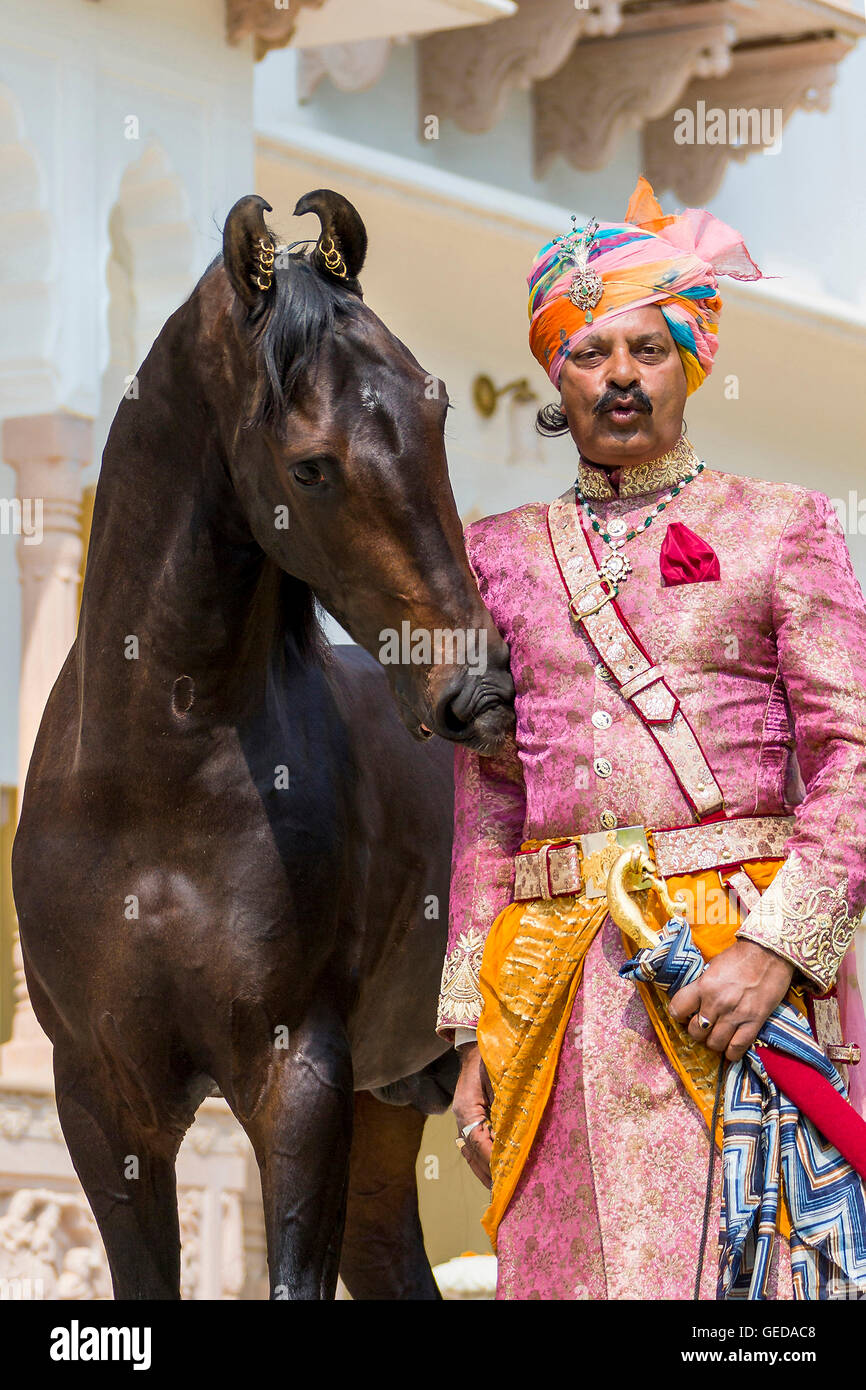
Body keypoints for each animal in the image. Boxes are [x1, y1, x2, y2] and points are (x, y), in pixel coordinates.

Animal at [11, 190, 515, 1300]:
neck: (155, 788)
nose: (479, 690)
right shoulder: (103, 1100)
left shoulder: (299, 1079)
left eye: (434, 414)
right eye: (311, 464)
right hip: (393, 1109)